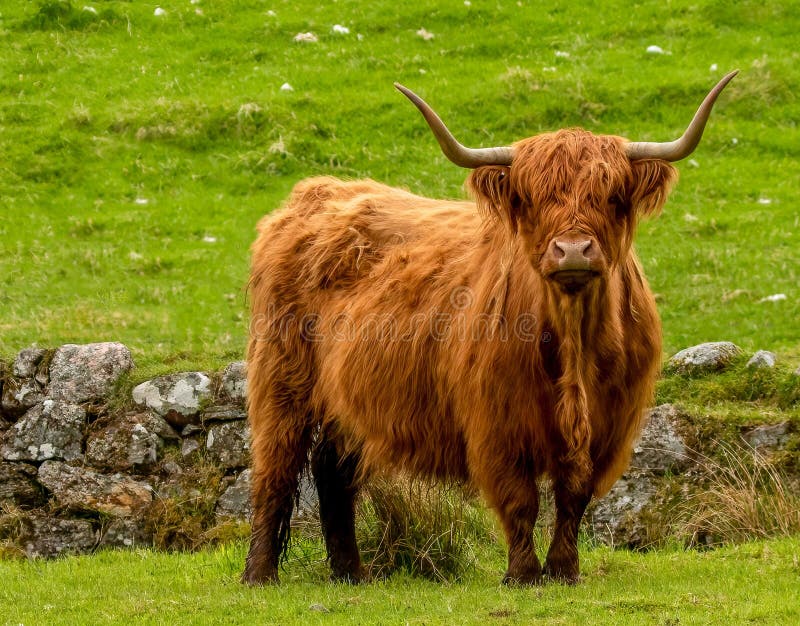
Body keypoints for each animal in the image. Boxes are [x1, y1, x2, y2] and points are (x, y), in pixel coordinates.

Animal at [242, 71, 737, 586]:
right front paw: (522, 573)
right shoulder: (497, 422)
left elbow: (574, 498)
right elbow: (520, 499)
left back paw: (350, 572)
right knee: (275, 470)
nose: (573, 250)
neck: (573, 344)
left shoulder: (607, 428)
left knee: (332, 470)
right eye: (532, 199)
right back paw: (260, 574)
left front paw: (564, 569)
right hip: (282, 380)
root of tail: (314, 194)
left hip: (348, 399)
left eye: (612, 196)